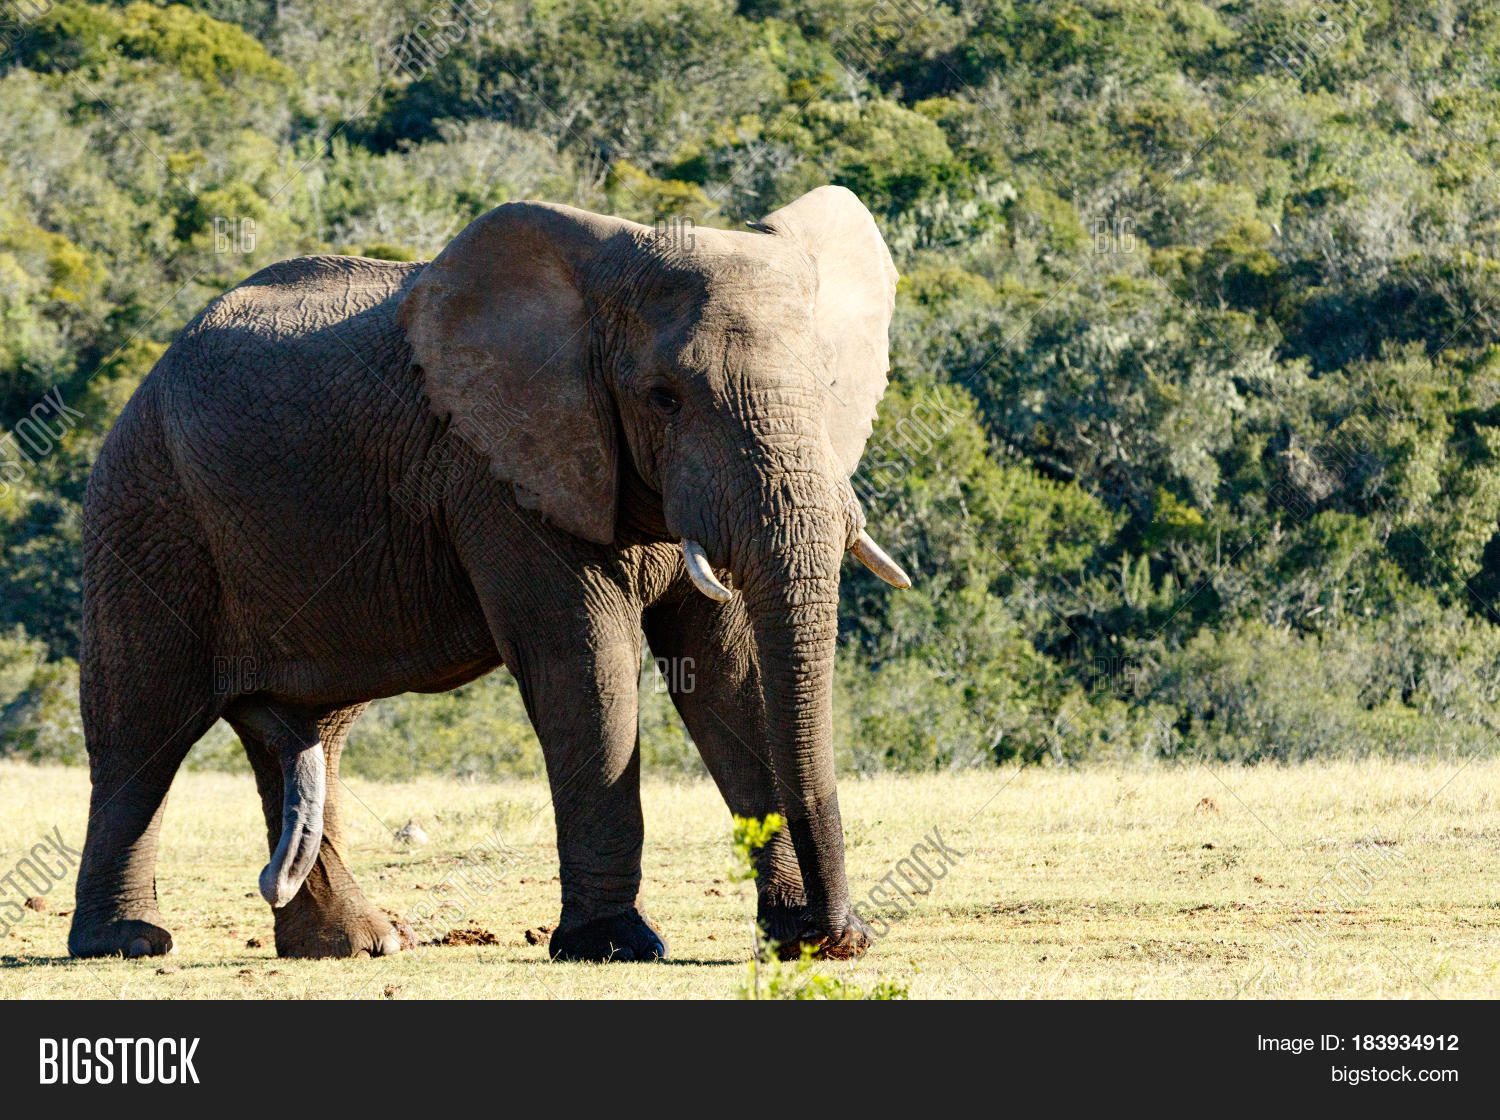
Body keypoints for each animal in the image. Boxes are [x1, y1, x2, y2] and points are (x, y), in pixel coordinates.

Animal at [67, 185, 912, 963]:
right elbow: (585, 666)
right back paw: (126, 943)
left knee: (314, 731)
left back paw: (356, 946)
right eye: (663, 398)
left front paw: (796, 940)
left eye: (829, 387)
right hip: (145, 509)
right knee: (142, 725)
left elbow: (731, 671)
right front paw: (615, 946)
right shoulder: (497, 473)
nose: (842, 934)